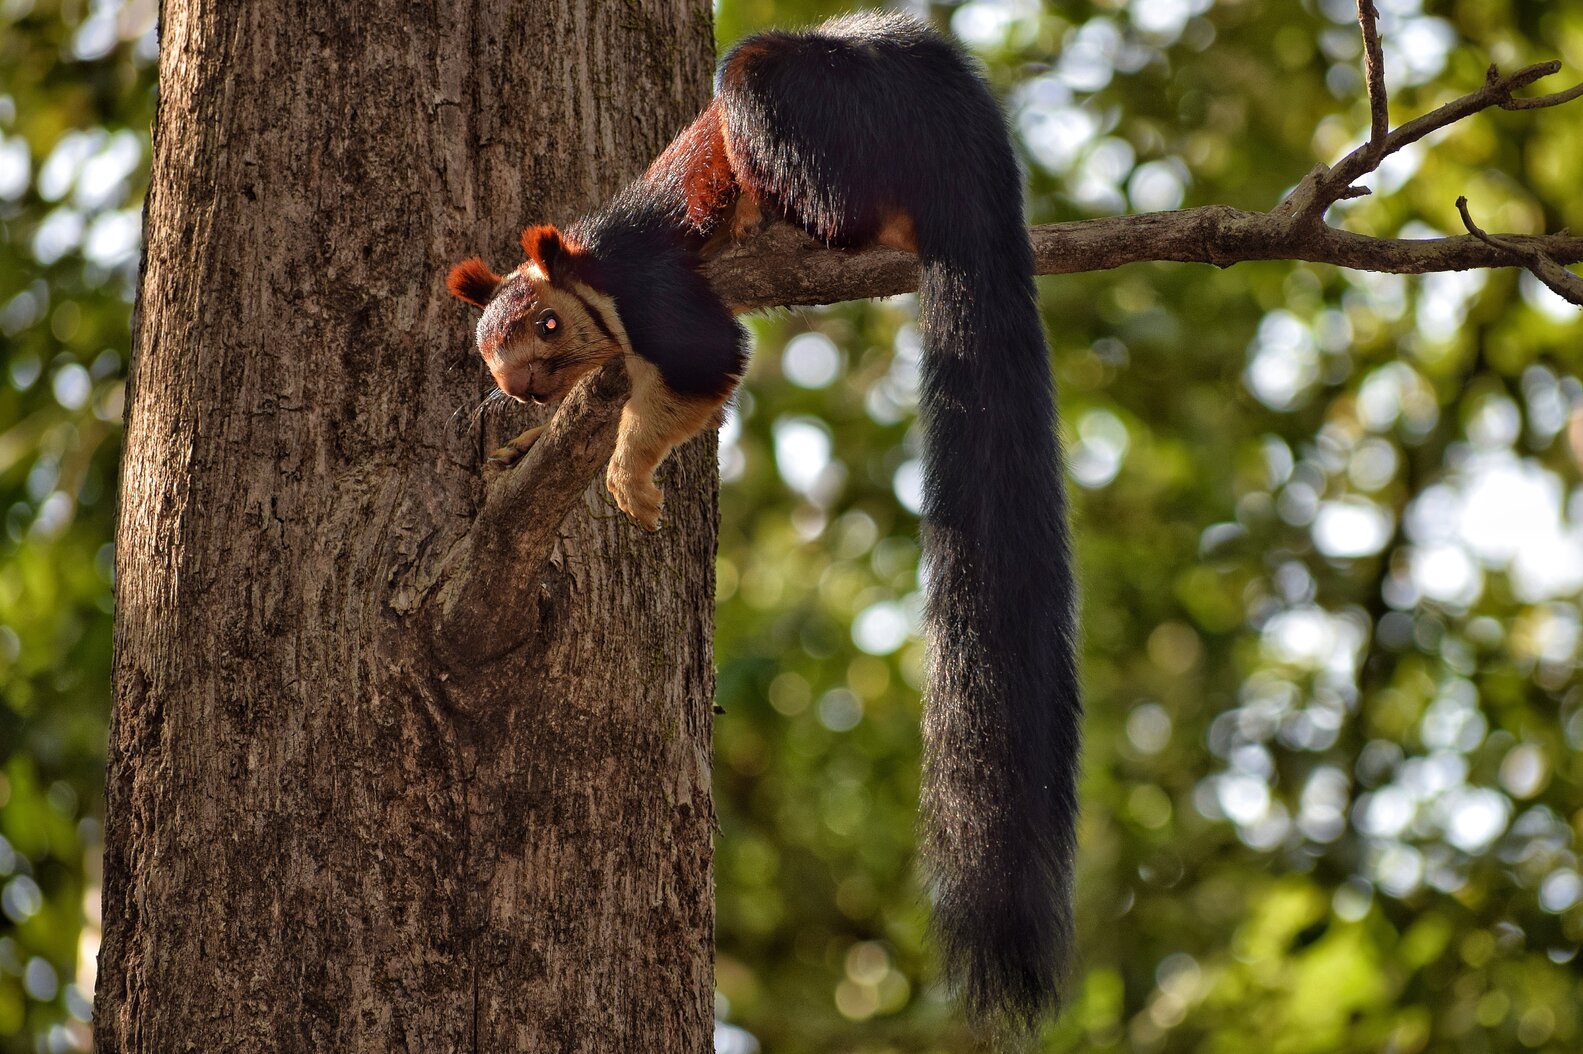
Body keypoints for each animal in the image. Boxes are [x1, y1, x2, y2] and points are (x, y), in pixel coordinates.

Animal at [447, 12, 1080, 1032]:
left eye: (544, 326)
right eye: (482, 345)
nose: (519, 386)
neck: (595, 267)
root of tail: (961, 122)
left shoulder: (659, 296)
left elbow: (702, 366)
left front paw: (628, 471)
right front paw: (523, 447)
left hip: (789, 107)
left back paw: (805, 224)